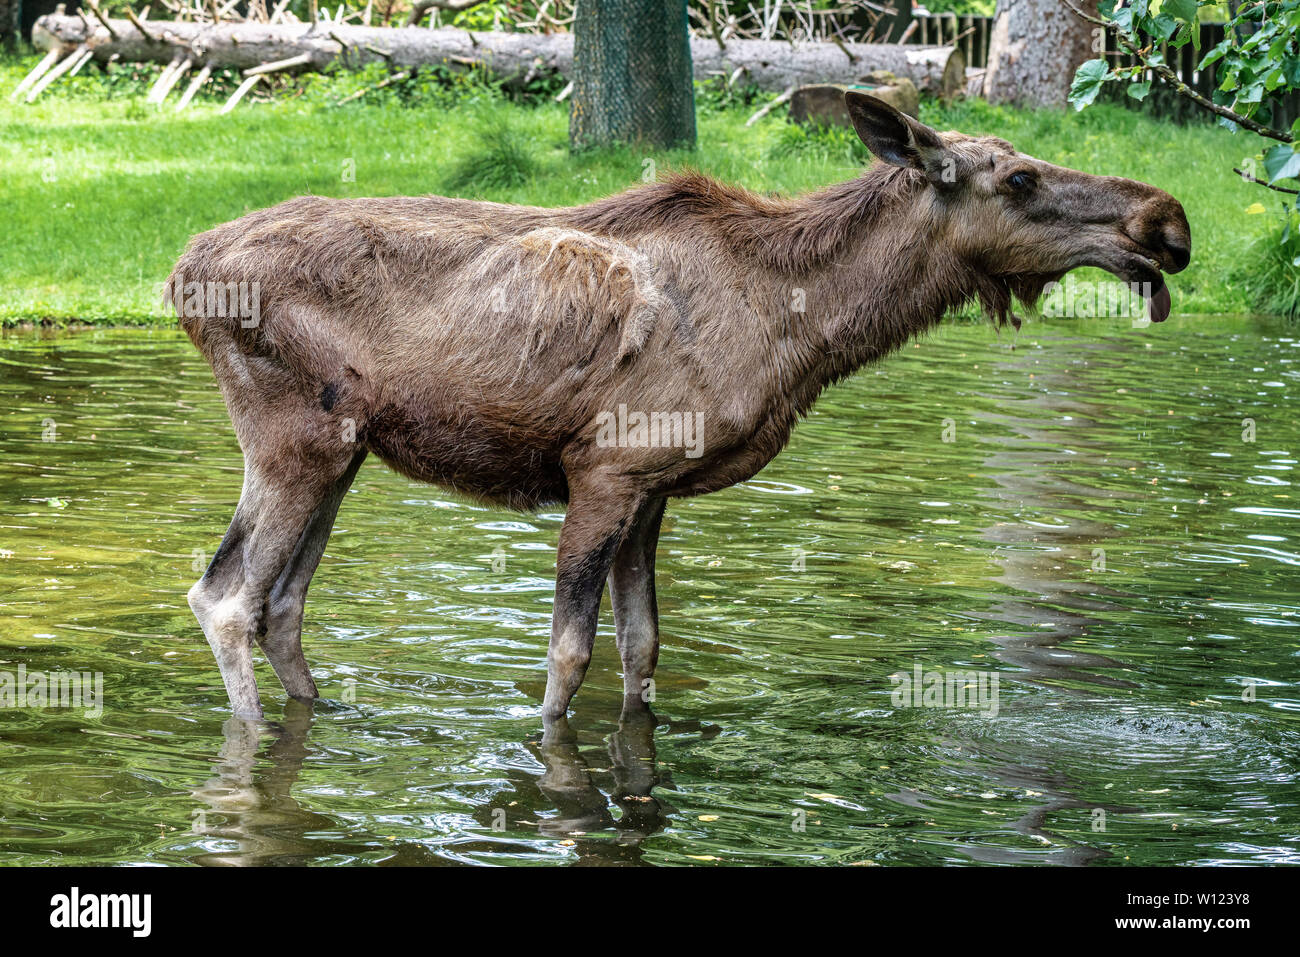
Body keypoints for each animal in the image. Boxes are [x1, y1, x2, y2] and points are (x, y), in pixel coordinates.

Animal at [172, 92, 1190, 728]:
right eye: (1018, 180)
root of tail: (180, 272)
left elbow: (644, 649)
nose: (1167, 222)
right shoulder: (606, 467)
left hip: (346, 450)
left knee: (284, 603)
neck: (803, 330)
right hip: (294, 435)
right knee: (226, 597)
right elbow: (568, 657)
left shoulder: (655, 487)